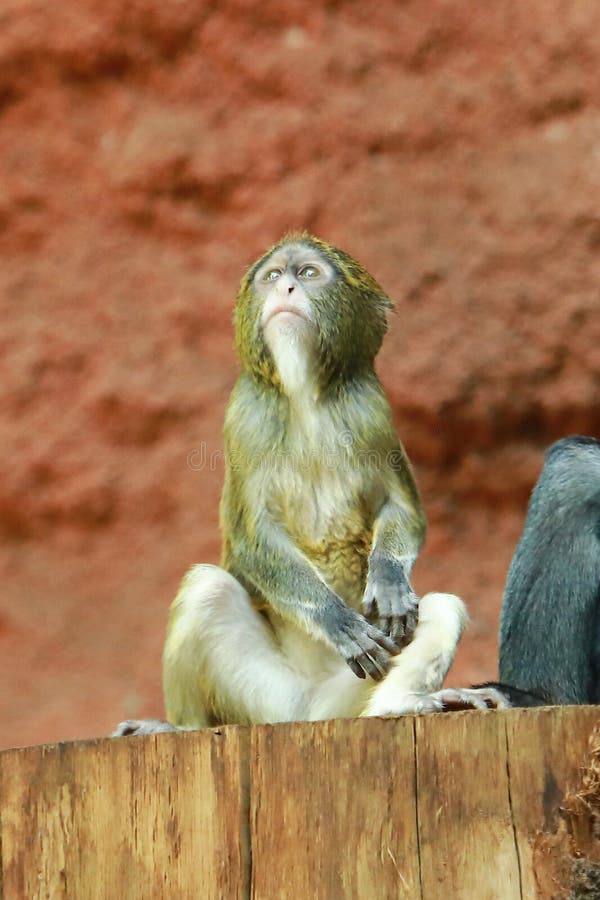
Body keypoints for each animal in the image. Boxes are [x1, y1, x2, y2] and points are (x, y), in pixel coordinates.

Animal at [114, 234, 505, 737]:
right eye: (273, 276)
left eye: (308, 274)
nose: (287, 290)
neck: (305, 398)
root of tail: (305, 714)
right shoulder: (245, 418)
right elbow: (251, 538)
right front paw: (335, 619)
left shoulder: (371, 409)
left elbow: (404, 510)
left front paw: (389, 578)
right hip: (260, 700)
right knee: (206, 587)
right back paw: (178, 728)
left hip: (346, 695)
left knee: (442, 607)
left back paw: (402, 703)